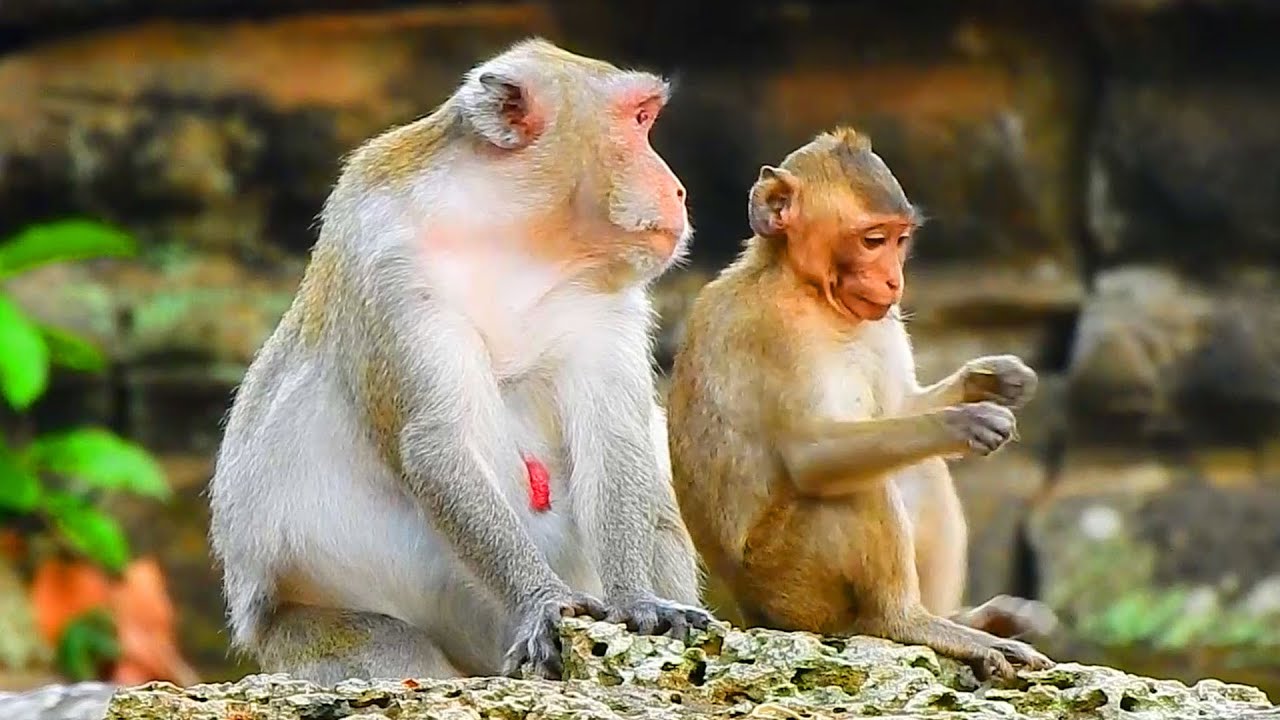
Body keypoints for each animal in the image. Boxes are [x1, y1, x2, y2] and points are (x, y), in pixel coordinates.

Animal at [207, 38, 714, 686]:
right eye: (639, 120)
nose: (678, 191)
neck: (516, 238)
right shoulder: (391, 266)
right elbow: (440, 440)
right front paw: (543, 602)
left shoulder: (608, 297)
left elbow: (616, 436)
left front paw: (637, 600)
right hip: (305, 634)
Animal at [666, 127, 1055, 681]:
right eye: (872, 240)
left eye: (899, 239)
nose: (895, 281)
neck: (805, 287)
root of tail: (753, 614)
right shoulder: (777, 330)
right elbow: (811, 458)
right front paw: (966, 421)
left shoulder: (882, 320)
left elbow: (901, 407)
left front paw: (990, 380)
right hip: (794, 588)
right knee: (855, 486)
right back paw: (908, 622)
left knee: (918, 465)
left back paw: (962, 619)